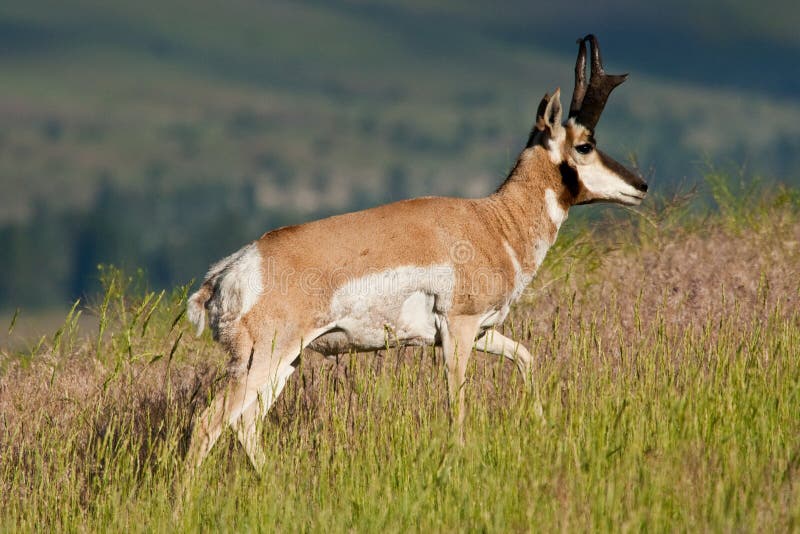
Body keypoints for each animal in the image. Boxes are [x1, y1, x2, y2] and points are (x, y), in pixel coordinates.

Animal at [184, 35, 647, 474]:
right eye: (585, 145)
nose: (641, 186)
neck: (493, 223)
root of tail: (227, 273)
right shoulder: (458, 329)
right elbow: (457, 404)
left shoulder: (482, 331)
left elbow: (527, 359)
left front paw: (542, 424)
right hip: (265, 358)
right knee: (210, 422)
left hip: (285, 361)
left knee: (245, 423)